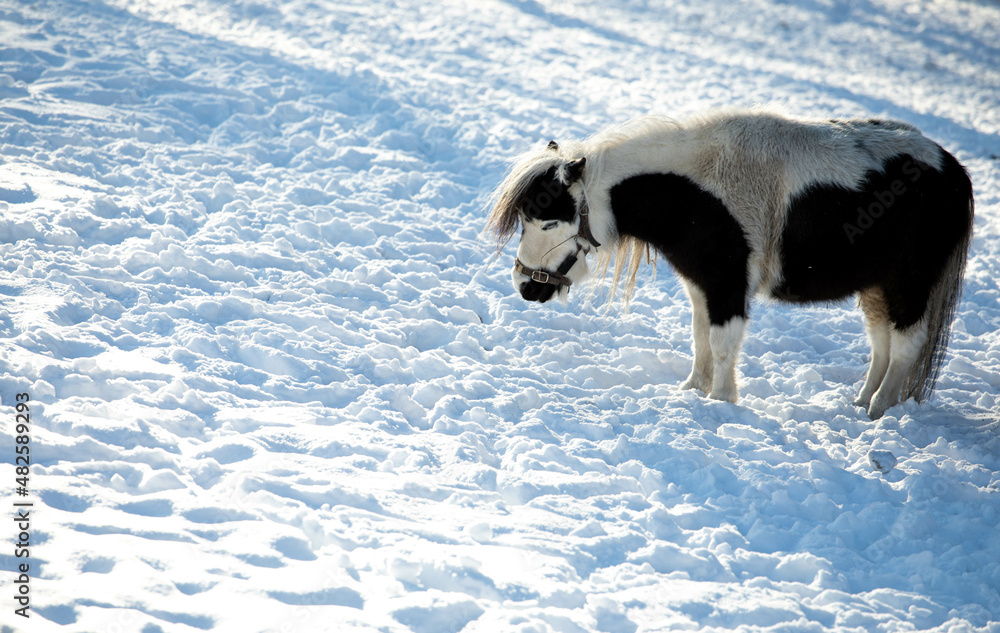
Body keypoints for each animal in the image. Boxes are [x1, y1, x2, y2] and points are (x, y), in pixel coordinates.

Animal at [486, 108, 974, 419]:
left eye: (549, 220)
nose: (526, 286)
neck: (693, 193)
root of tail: (953, 170)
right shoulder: (701, 283)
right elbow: (700, 336)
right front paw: (693, 391)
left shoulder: (727, 284)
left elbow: (722, 343)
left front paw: (721, 402)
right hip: (877, 287)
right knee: (881, 343)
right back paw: (860, 403)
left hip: (908, 284)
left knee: (906, 344)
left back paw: (878, 412)